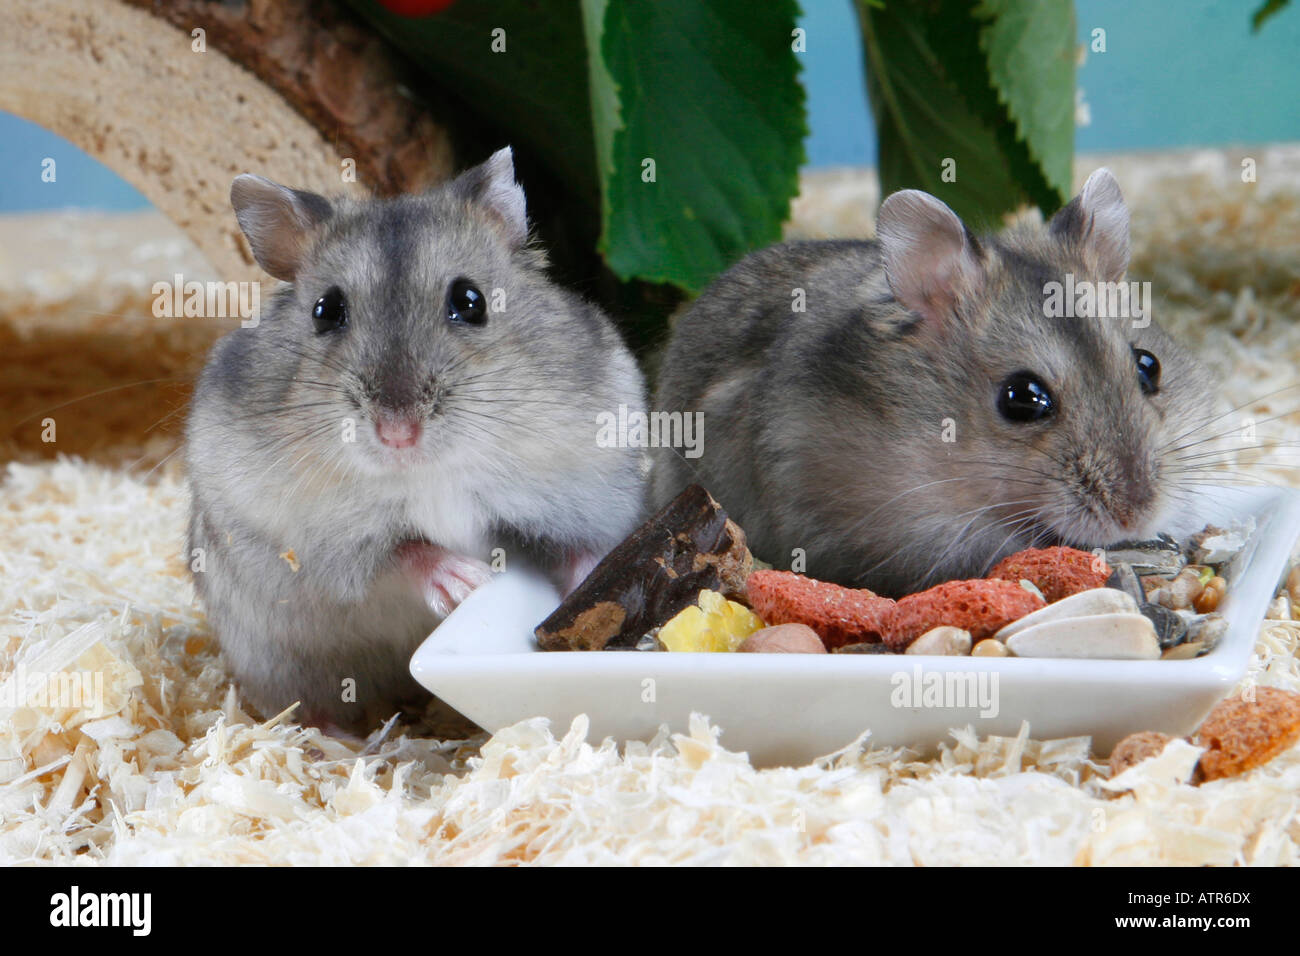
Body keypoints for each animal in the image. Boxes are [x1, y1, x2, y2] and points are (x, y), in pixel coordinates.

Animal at [186, 148, 646, 732]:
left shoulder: (579, 492)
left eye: (471, 301)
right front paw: (468, 582)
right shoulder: (314, 543)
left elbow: (575, 550)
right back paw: (336, 737)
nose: (397, 432)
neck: (431, 471)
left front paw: (590, 582)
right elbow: (403, 551)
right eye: (325, 311)